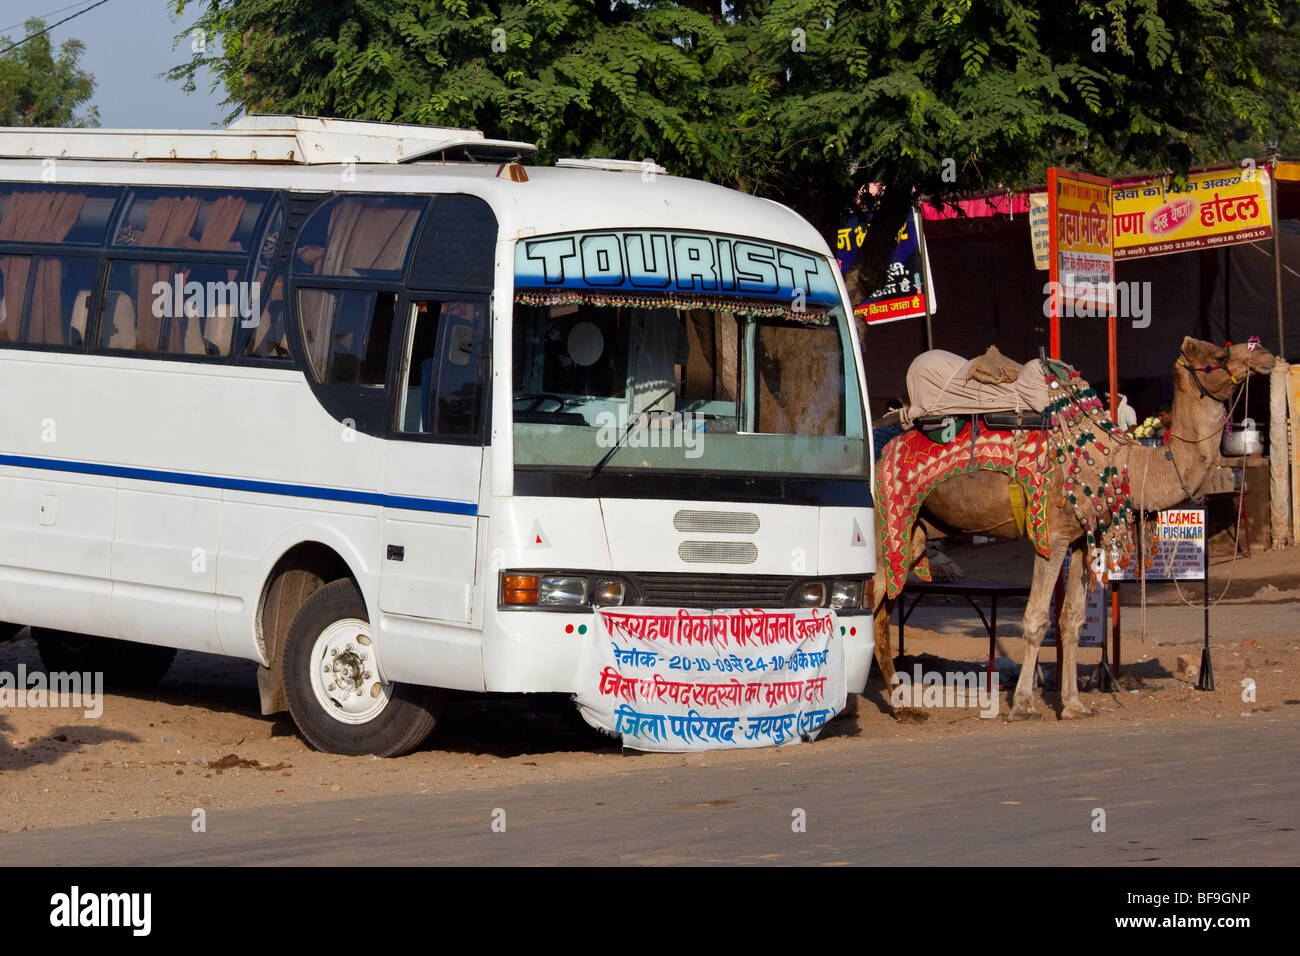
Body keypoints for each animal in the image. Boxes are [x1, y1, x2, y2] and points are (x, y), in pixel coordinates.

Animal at [870, 336, 1275, 721]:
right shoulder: (1052, 535)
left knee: (881, 611)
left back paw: (905, 708)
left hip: (916, 533)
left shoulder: (1081, 541)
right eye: (1219, 356)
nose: (1265, 354)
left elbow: (1073, 621)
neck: (1119, 463)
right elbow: (1036, 619)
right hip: (885, 524)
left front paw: (1073, 705)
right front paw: (1023, 705)